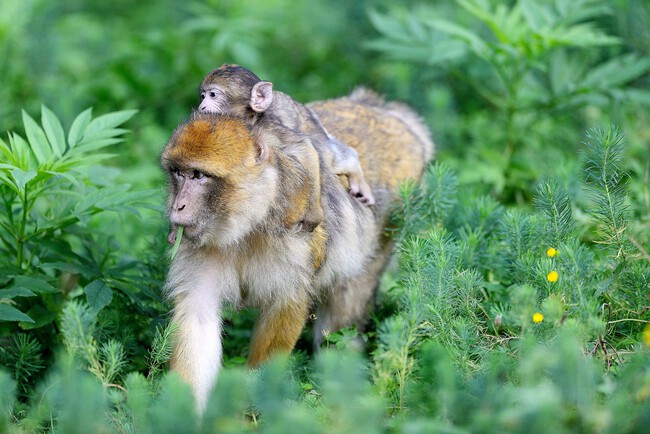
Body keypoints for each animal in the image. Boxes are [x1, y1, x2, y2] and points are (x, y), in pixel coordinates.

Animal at [161, 89, 434, 413]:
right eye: (178, 173)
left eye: (199, 175)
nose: (177, 207)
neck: (248, 225)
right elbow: (198, 317)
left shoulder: (296, 241)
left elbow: (285, 311)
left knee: (342, 316)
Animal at [198, 64, 376, 206]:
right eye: (202, 96)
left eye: (213, 95)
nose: (202, 106)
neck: (252, 119)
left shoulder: (268, 129)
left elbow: (304, 147)